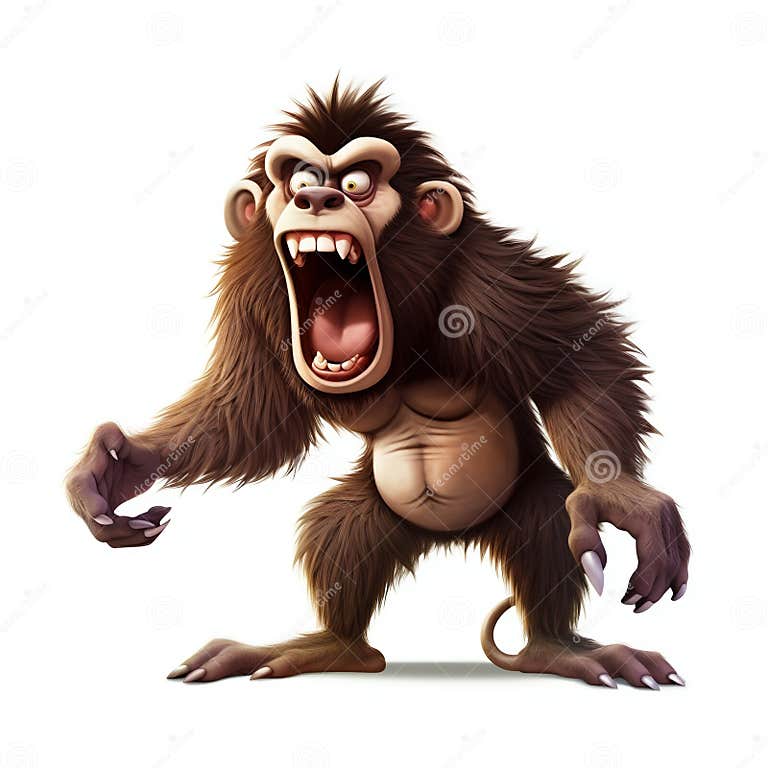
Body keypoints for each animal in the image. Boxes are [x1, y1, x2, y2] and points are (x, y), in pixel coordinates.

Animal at [65, 79, 689, 689]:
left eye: (357, 183)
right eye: (298, 180)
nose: (317, 199)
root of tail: (452, 537)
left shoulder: (492, 284)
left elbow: (581, 361)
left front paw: (619, 495)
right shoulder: (253, 305)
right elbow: (249, 416)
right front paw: (120, 465)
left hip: (522, 500)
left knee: (547, 525)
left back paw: (556, 649)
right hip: (379, 514)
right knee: (339, 532)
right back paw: (327, 647)